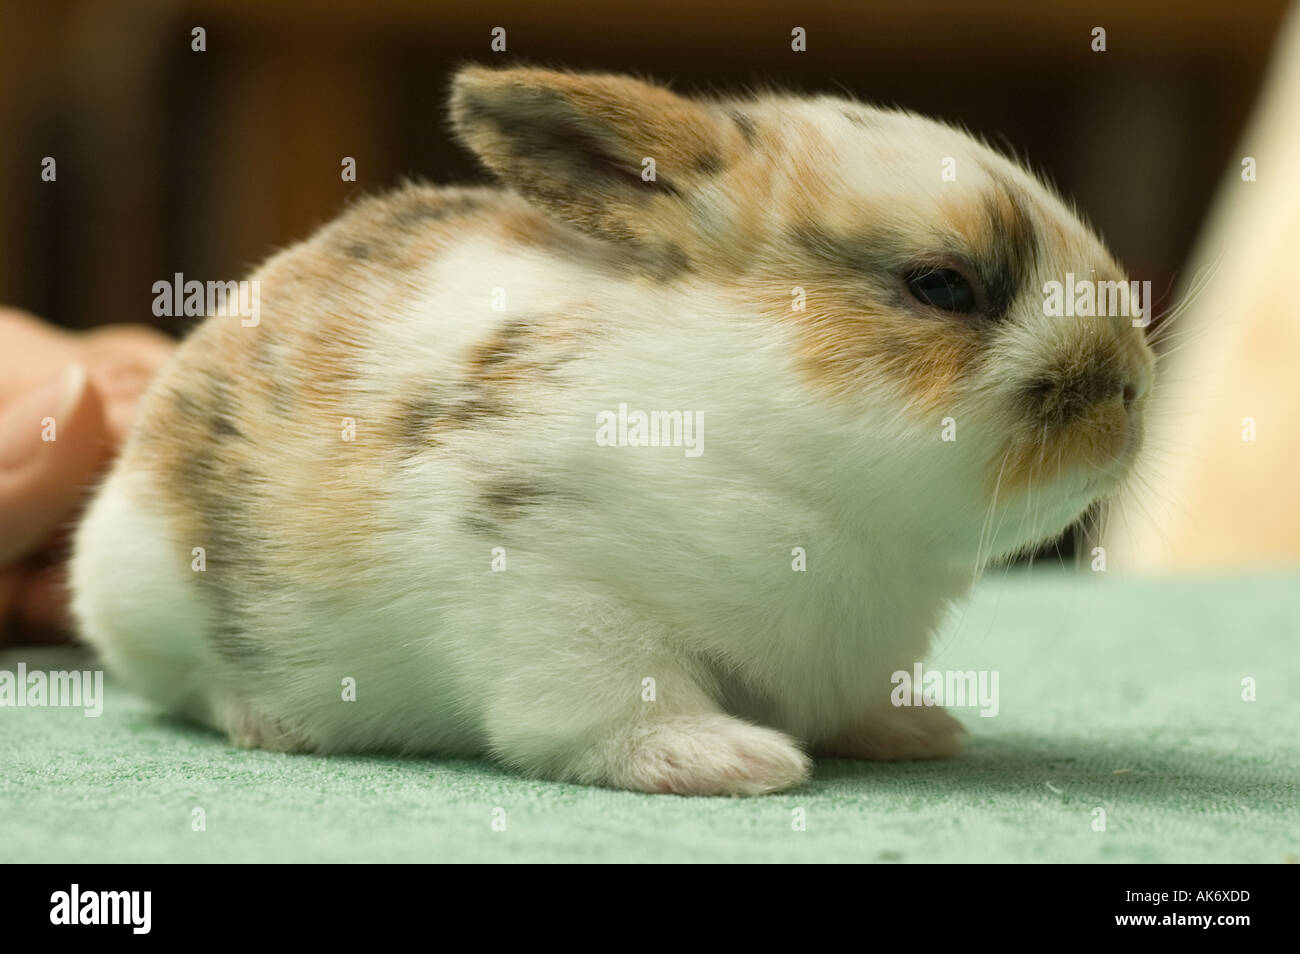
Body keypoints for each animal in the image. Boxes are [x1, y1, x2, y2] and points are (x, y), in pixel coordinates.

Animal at [70, 66, 1154, 796]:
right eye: (942, 286)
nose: (1130, 391)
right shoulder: (555, 587)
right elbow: (617, 708)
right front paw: (729, 760)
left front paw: (912, 731)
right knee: (189, 687)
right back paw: (273, 722)